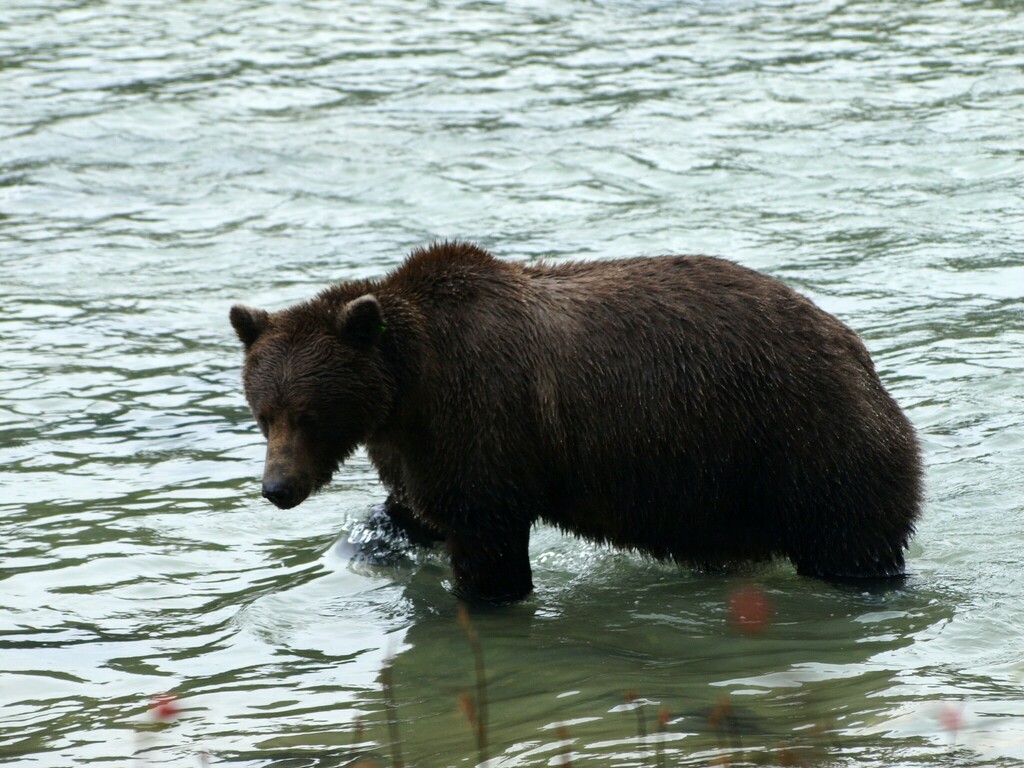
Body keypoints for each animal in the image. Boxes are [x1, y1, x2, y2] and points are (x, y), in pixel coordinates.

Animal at [230, 241, 922, 604]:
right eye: (264, 414)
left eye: (309, 415)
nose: (278, 488)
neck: (408, 386)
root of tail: (855, 349)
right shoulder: (419, 446)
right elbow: (413, 512)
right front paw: (364, 544)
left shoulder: (480, 416)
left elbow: (487, 539)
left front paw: (483, 597)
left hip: (800, 437)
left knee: (850, 537)